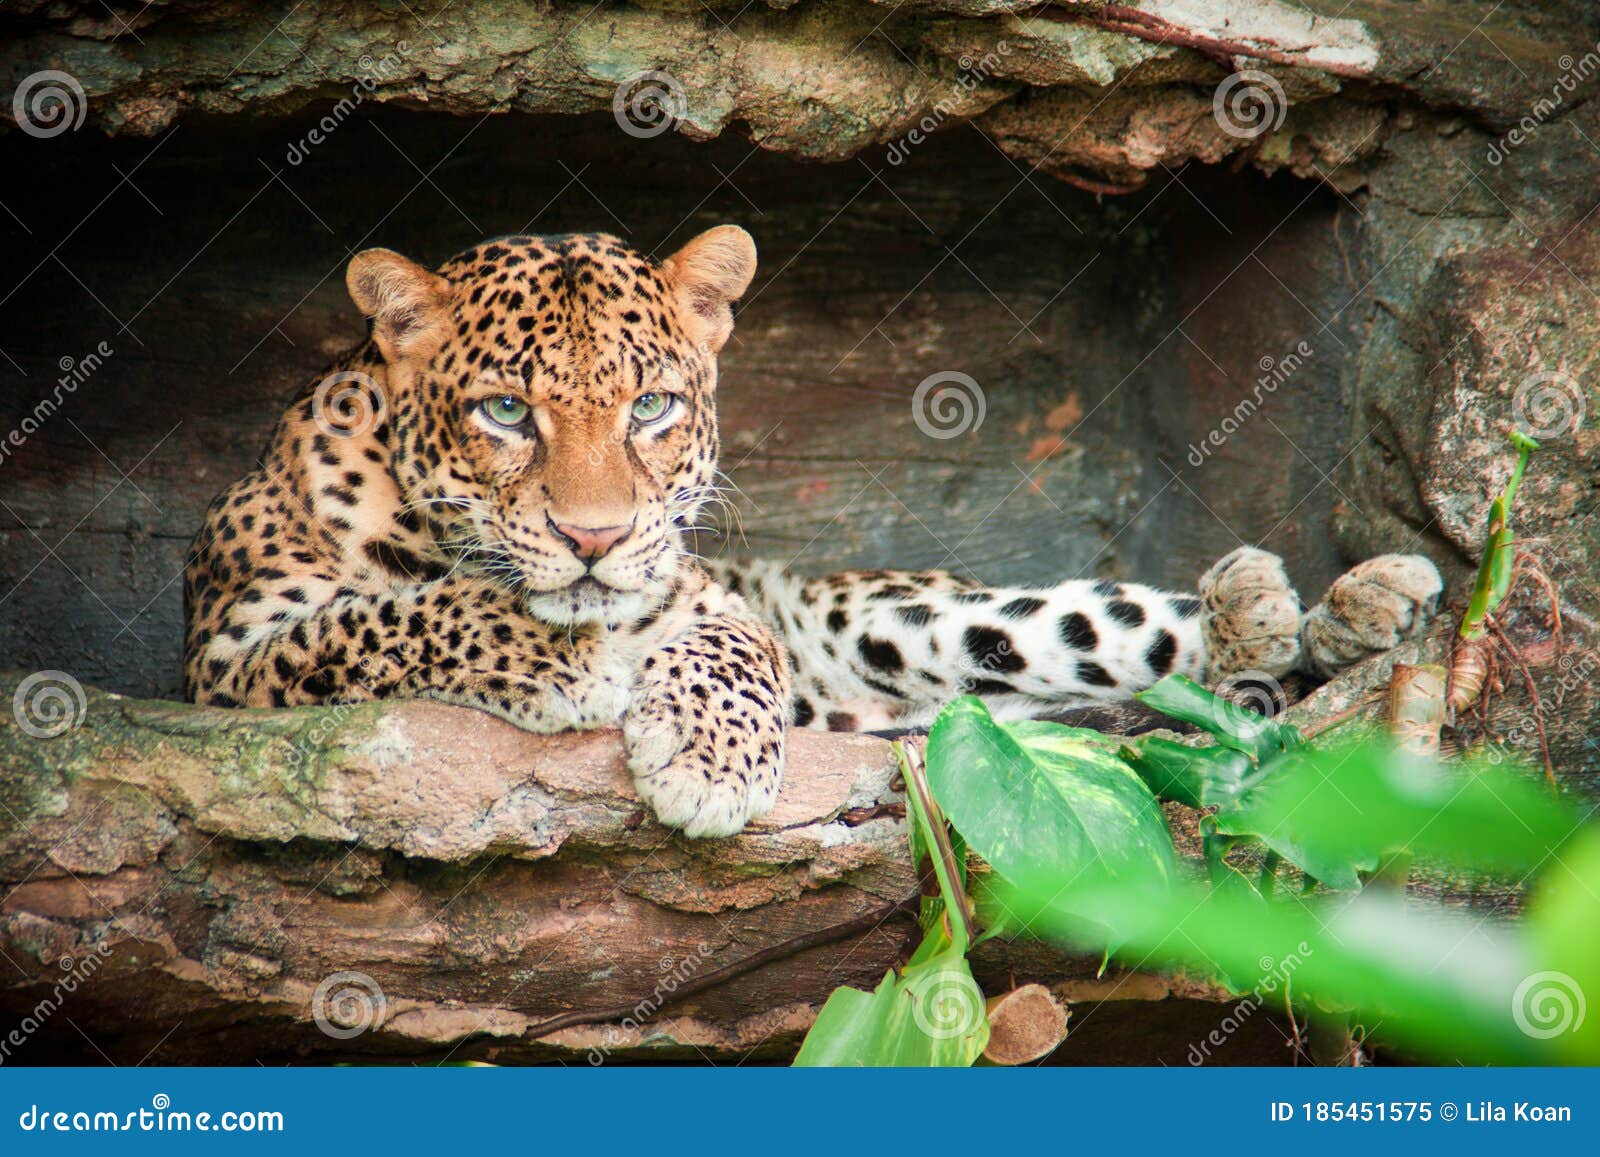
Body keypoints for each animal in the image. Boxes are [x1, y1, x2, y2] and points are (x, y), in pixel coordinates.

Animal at [183, 225, 1444, 838]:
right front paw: (569, 660)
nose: (594, 538)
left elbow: (730, 642)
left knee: (1127, 632)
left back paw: (1321, 605)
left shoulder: (707, 592)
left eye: (651, 406)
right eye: (503, 411)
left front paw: (704, 758)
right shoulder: (230, 661)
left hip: (930, 621)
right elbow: (396, 614)